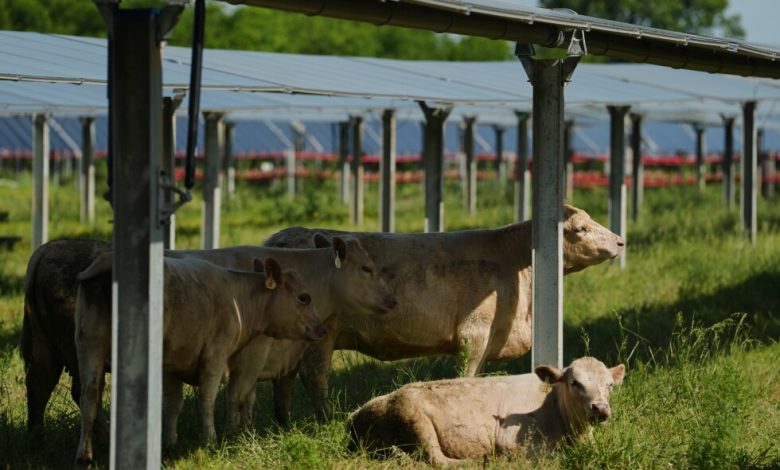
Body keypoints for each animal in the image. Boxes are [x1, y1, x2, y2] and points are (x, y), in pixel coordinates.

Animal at [74, 254, 325, 467]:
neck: (237, 300)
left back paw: (84, 455)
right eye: (304, 297)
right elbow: (211, 399)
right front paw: (214, 440)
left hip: (90, 343)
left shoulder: (171, 366)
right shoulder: (215, 356)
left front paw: (171, 442)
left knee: (90, 395)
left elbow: (173, 403)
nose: (320, 328)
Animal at [264, 204, 624, 420]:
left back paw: (284, 422)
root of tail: (281, 237)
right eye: (580, 228)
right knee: (314, 376)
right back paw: (326, 419)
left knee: (285, 379)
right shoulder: (474, 332)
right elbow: (466, 375)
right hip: (319, 336)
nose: (620, 241)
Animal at [346, 357, 626, 466]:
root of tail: (356, 414)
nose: (600, 409)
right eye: (574, 382)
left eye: (610, 385)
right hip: (414, 418)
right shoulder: (514, 442)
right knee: (439, 460)